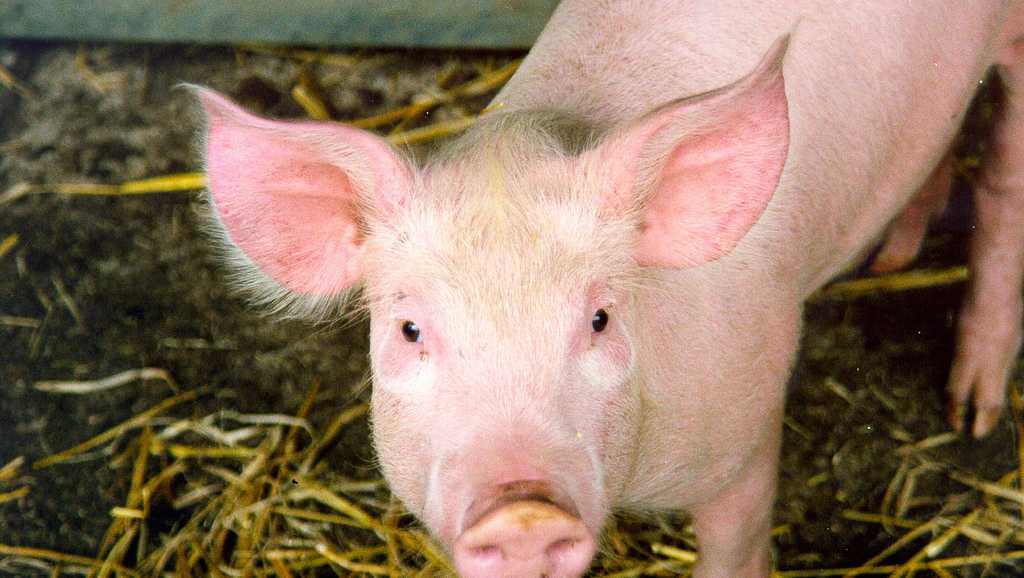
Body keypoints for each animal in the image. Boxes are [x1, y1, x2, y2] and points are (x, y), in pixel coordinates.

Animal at [192, 1, 1024, 576]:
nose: (522, 510)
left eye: (598, 318)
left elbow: (738, 545)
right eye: (410, 331)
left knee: (1002, 194)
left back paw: (972, 413)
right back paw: (892, 258)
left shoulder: (748, 424)